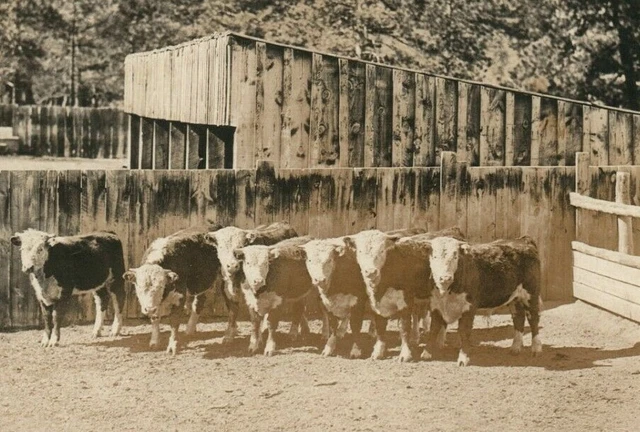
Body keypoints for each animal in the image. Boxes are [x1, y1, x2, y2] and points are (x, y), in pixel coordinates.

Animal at [123, 226, 224, 355]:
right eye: (139, 287)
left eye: (160, 286)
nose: (148, 309)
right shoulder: (155, 305)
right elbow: (155, 318)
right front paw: (154, 342)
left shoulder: (179, 298)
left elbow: (174, 322)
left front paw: (172, 346)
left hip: (201, 283)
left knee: (199, 302)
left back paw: (190, 329)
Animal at [344, 227, 465, 362]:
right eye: (360, 251)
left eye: (381, 250)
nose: (370, 272)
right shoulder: (379, 303)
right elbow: (380, 327)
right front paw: (378, 351)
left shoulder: (405, 301)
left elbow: (404, 327)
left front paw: (405, 354)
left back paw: (441, 341)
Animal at [423, 235, 542, 366]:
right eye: (434, 256)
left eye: (455, 256)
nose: (445, 278)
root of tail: (522, 240)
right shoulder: (435, 305)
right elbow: (433, 329)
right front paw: (427, 353)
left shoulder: (469, 307)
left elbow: (464, 331)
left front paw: (463, 358)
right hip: (515, 298)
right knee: (518, 318)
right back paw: (515, 348)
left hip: (531, 294)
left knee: (533, 319)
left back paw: (536, 349)